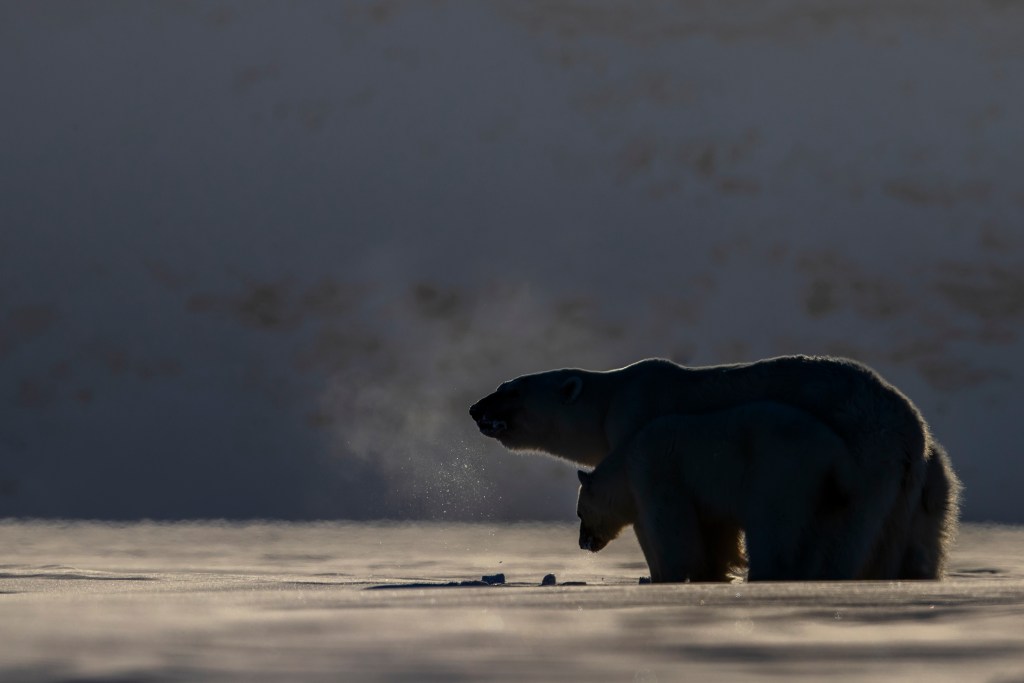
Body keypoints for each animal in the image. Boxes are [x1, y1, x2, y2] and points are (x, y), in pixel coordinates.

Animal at [469, 355, 961, 581]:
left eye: (510, 390)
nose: (476, 409)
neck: (612, 399)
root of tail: (912, 437)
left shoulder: (639, 420)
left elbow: (651, 514)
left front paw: (661, 572)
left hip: (861, 462)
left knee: (840, 534)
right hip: (933, 484)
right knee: (921, 539)